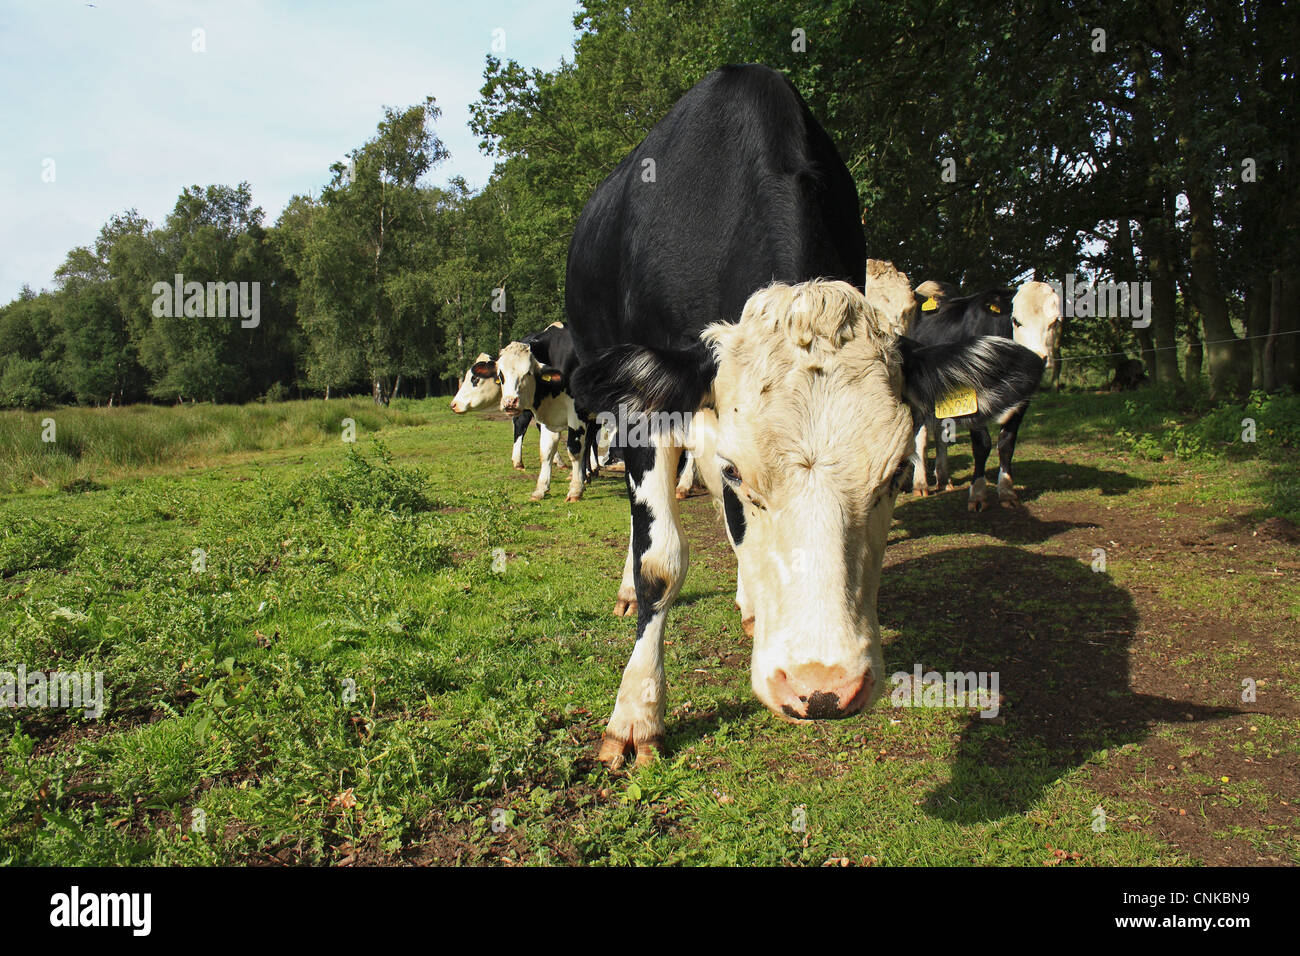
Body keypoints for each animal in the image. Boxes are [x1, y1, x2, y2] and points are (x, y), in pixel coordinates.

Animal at [472, 323, 591, 502]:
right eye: (501, 374)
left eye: (528, 372)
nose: (510, 402)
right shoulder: (548, 418)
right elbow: (546, 451)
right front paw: (541, 488)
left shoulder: (578, 411)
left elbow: (575, 449)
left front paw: (575, 490)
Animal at [565, 64, 1045, 768]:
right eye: (739, 472)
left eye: (896, 475)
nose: (822, 687)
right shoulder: (648, 413)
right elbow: (661, 562)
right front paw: (635, 715)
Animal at [906, 280, 1062, 509]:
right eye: (1015, 320)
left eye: (1055, 321)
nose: (1039, 359)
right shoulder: (971, 396)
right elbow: (982, 444)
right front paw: (977, 494)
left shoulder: (1022, 398)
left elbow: (1006, 444)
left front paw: (1007, 492)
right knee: (922, 435)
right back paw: (920, 484)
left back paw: (943, 478)